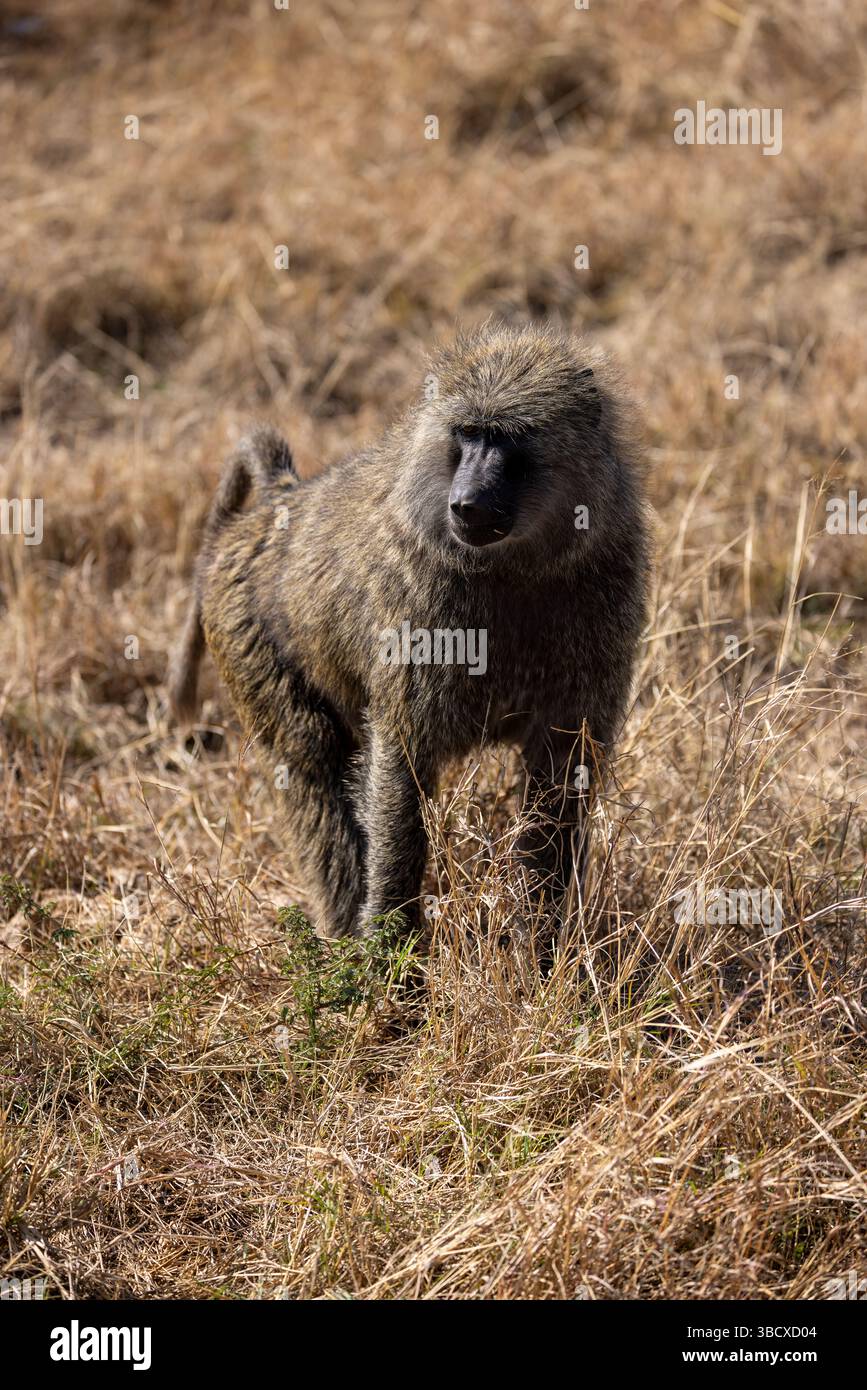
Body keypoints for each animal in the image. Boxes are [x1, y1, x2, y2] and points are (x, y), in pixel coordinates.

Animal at [168, 322, 649, 946]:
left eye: (510, 438)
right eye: (466, 434)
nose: (467, 504)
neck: (513, 567)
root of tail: (278, 502)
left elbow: (563, 771)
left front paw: (539, 944)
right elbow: (401, 768)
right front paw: (389, 950)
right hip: (244, 633)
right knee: (311, 762)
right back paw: (343, 940)